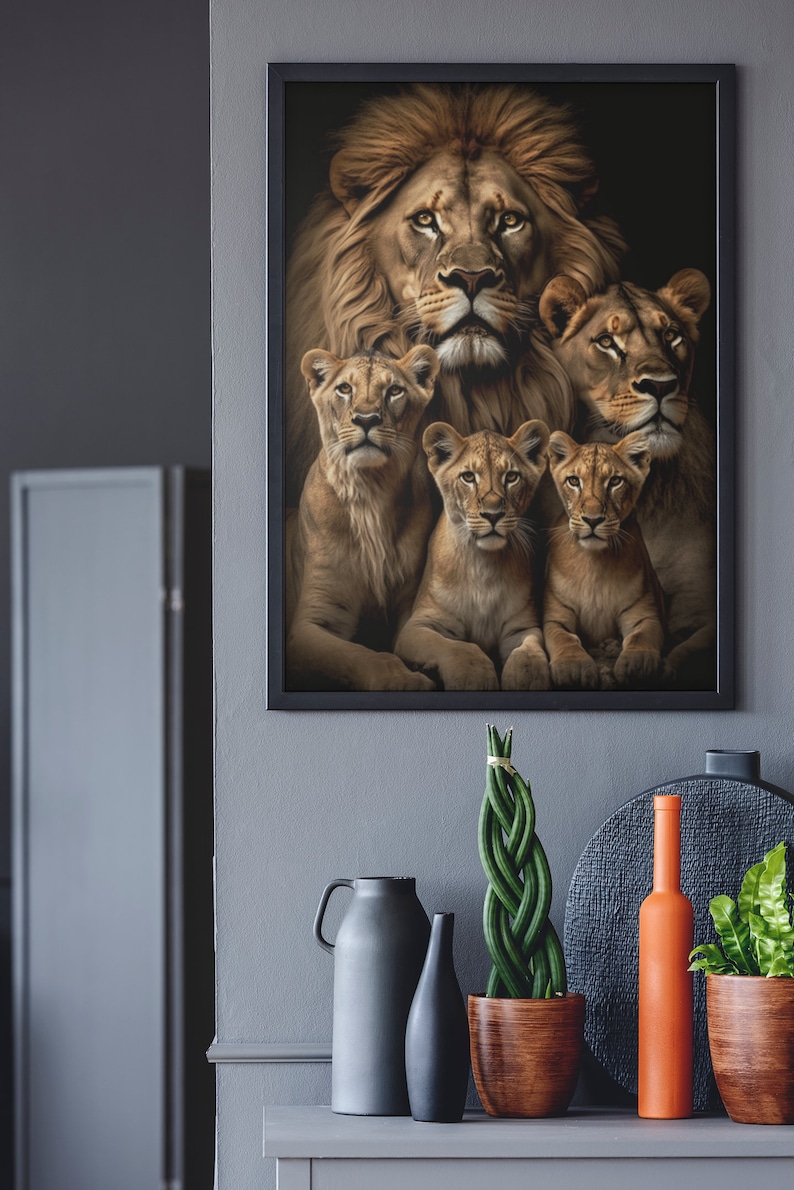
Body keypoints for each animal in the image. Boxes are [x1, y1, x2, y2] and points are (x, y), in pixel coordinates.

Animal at [286, 346, 439, 692]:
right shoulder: (311, 624)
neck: (370, 492)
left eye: (394, 390)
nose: (367, 419)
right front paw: (403, 679)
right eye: (345, 388)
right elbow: (361, 655)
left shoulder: (410, 605)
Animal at [394, 419, 551, 691]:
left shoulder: (521, 626)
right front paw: (475, 676)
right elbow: (458, 647)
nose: (493, 514)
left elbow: (528, 650)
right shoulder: (417, 626)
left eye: (511, 477)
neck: (483, 563)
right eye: (468, 477)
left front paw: (528, 678)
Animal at [544, 432, 664, 690]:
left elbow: (642, 637)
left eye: (615, 481)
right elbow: (564, 639)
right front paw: (574, 668)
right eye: (573, 481)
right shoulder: (556, 616)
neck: (595, 562)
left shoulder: (644, 614)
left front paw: (637, 664)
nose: (592, 520)